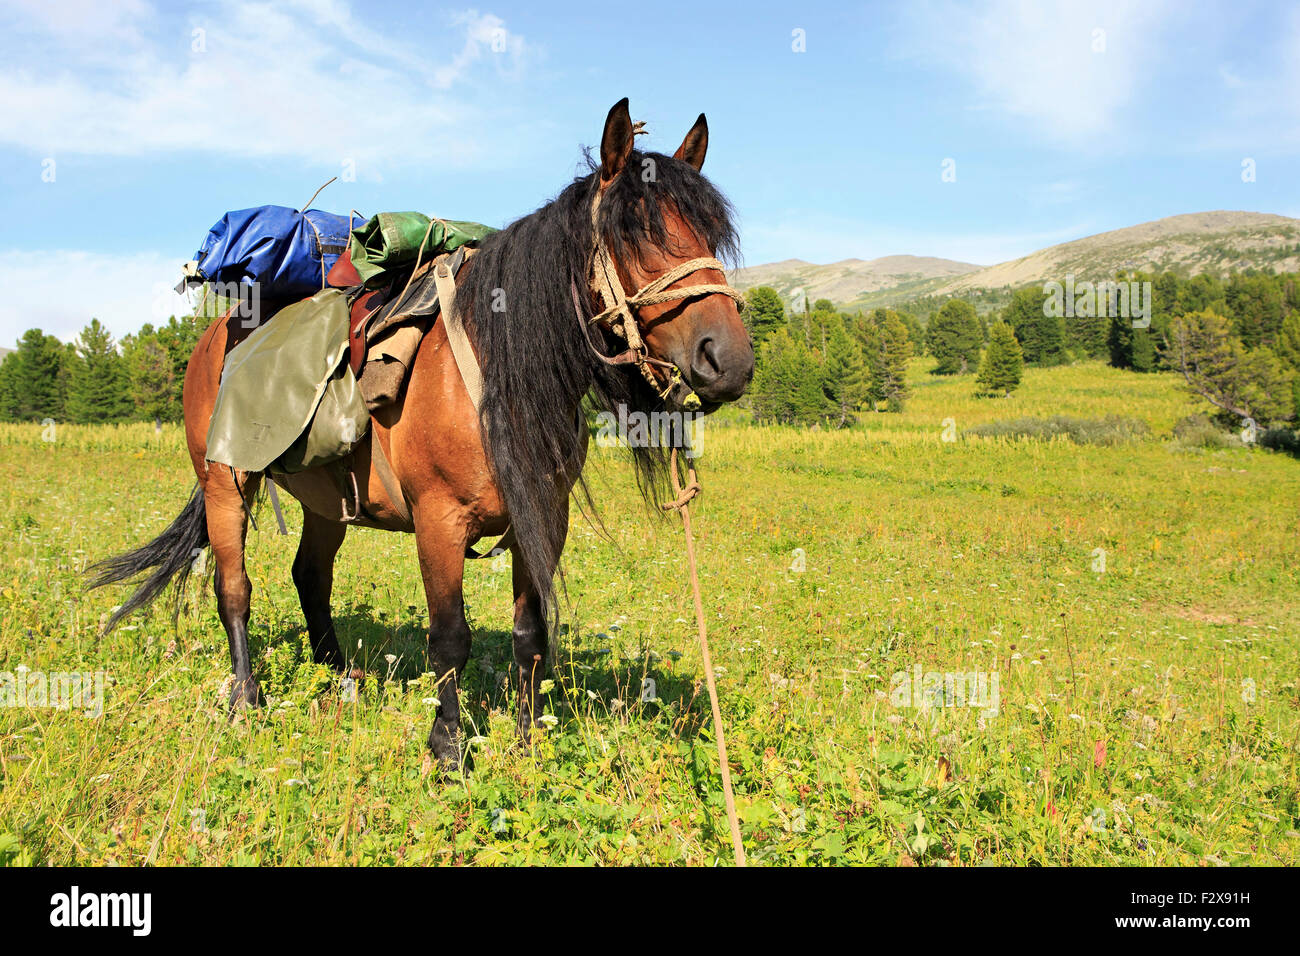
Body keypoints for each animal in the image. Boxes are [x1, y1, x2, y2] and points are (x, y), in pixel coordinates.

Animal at [89, 98, 754, 769]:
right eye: (633, 235)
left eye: (709, 234)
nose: (728, 360)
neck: (493, 372)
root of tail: (215, 335)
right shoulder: (440, 521)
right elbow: (450, 638)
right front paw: (449, 750)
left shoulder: (541, 517)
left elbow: (530, 634)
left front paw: (526, 742)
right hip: (225, 485)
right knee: (234, 590)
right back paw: (247, 699)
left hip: (329, 502)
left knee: (311, 577)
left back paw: (342, 681)